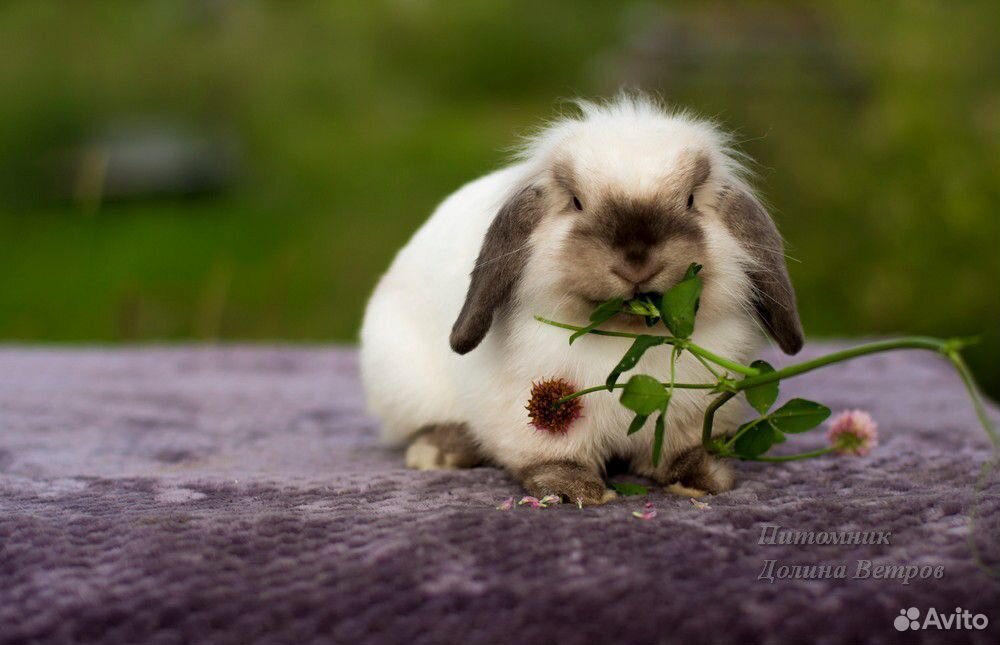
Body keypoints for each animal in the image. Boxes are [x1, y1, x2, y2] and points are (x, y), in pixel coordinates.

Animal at [360, 94, 802, 505]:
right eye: (576, 203)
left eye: (691, 200)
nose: (636, 260)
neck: (627, 337)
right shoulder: (532, 410)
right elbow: (551, 455)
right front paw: (573, 489)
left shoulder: (690, 414)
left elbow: (684, 448)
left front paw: (700, 477)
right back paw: (439, 452)